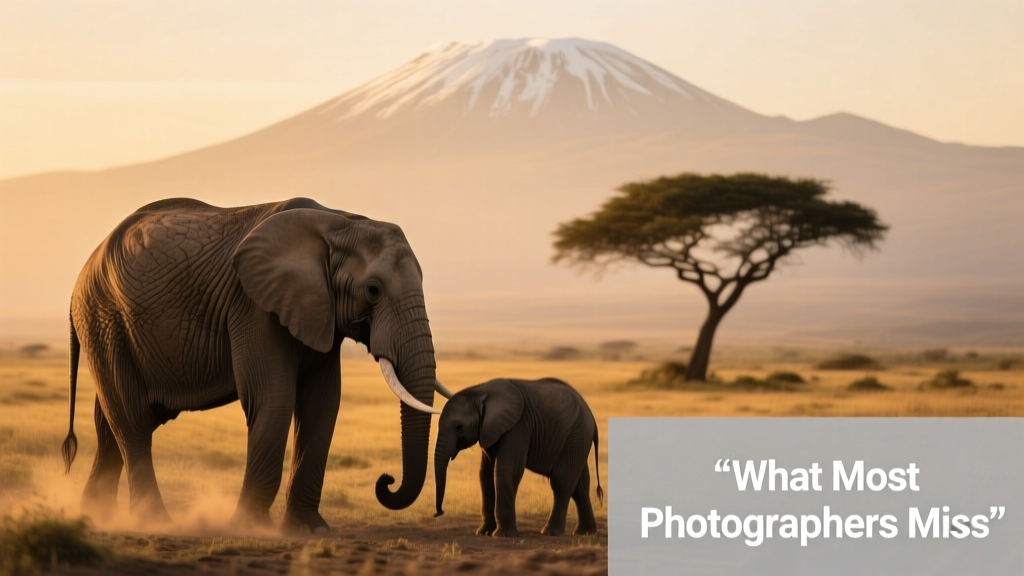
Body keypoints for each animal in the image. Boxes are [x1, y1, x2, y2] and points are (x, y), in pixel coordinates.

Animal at [60, 197, 453, 533]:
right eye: (373, 290)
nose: (386, 481)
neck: (339, 221)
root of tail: (81, 275)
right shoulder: (254, 307)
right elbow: (273, 400)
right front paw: (249, 527)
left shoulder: (319, 313)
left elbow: (322, 406)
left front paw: (310, 530)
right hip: (104, 319)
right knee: (132, 419)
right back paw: (154, 521)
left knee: (115, 423)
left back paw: (94, 516)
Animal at [433, 377, 603, 537]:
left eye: (459, 427)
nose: (438, 513)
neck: (479, 391)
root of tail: (592, 418)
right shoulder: (489, 429)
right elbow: (485, 473)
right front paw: (483, 532)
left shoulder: (518, 425)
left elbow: (507, 470)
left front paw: (502, 535)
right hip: (577, 439)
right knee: (580, 485)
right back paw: (585, 532)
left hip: (577, 435)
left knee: (561, 480)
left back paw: (550, 532)